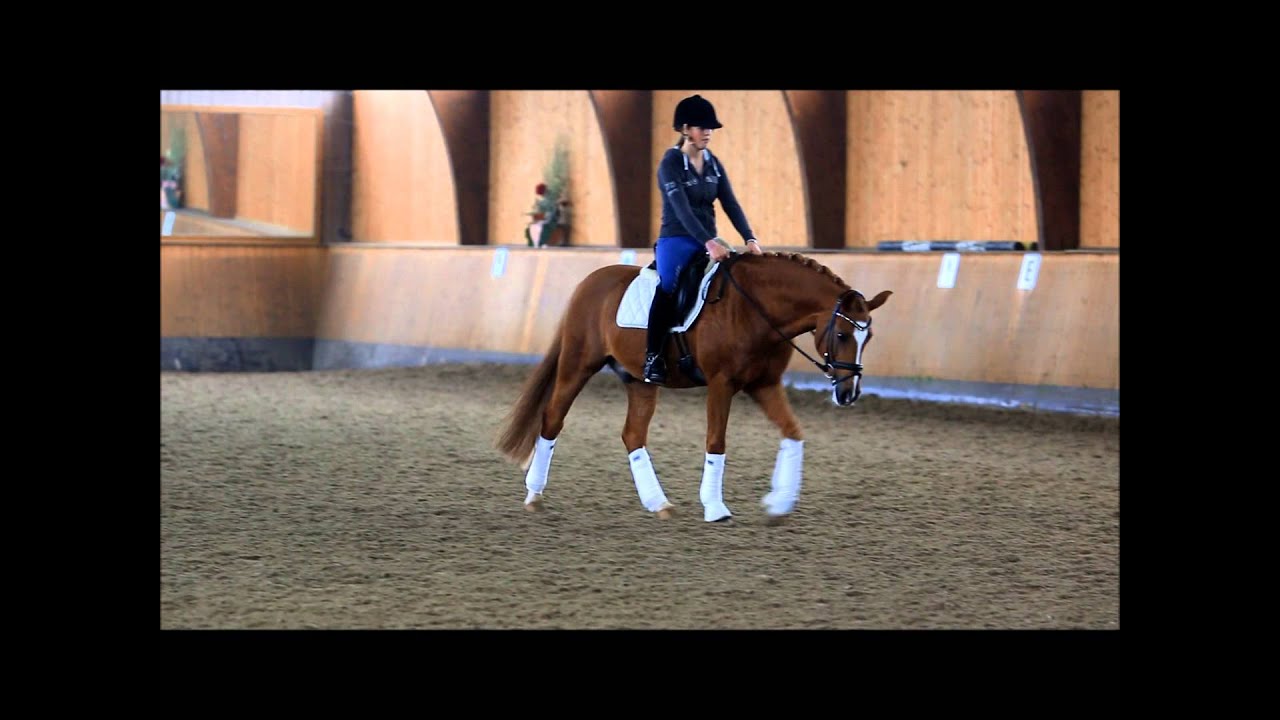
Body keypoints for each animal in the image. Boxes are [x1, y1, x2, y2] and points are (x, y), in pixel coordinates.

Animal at [494, 251, 891, 523]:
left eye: (869, 336)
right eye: (841, 335)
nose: (848, 394)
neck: (755, 309)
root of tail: (589, 282)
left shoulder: (764, 384)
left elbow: (793, 433)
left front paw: (779, 503)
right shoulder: (721, 383)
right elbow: (716, 442)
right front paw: (715, 507)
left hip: (639, 380)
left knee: (633, 435)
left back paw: (659, 504)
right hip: (579, 364)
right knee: (552, 418)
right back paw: (534, 495)